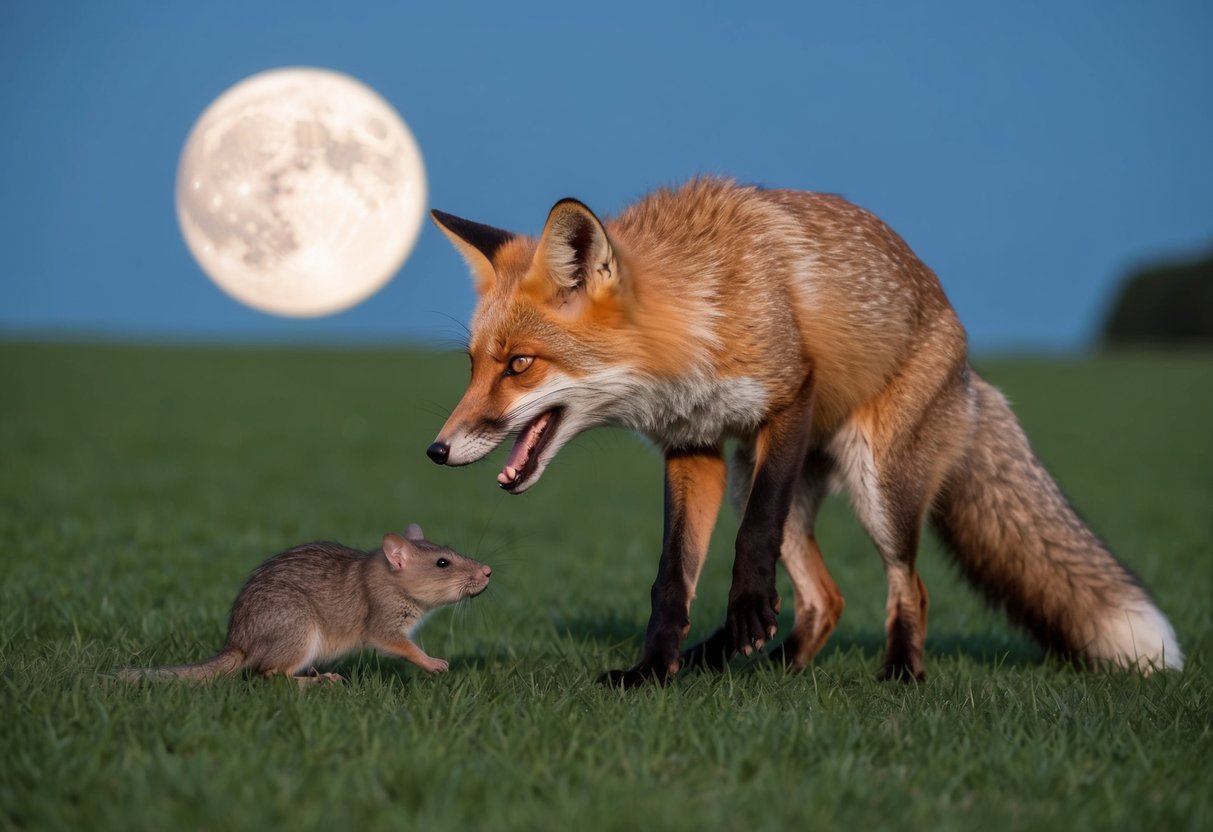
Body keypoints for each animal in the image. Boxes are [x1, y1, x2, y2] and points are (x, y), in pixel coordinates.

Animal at [425, 177, 1183, 685]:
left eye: (520, 365)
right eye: (473, 364)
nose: (435, 449)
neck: (697, 312)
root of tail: (970, 368)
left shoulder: (789, 397)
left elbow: (750, 539)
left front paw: (743, 613)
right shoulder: (693, 447)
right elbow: (672, 579)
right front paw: (652, 671)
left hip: (877, 489)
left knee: (908, 585)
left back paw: (897, 675)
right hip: (755, 478)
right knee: (826, 601)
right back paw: (750, 665)